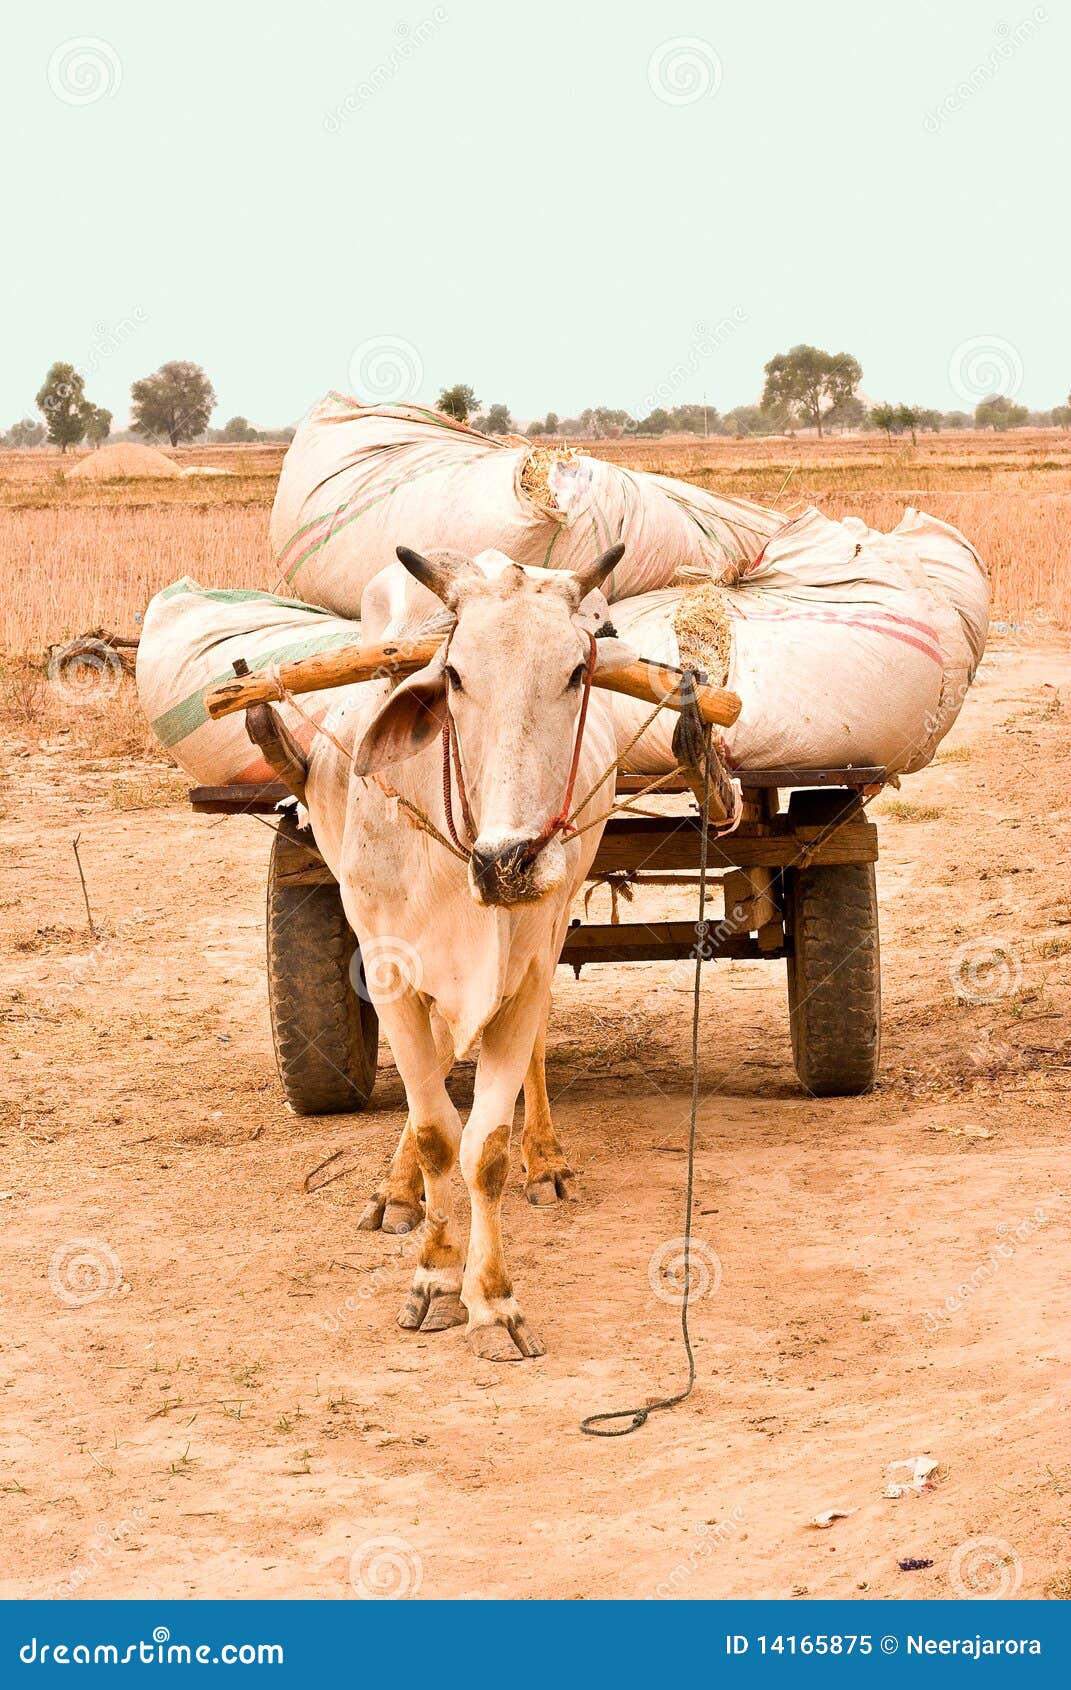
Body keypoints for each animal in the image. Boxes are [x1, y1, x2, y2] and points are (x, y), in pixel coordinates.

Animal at [303, 542, 635, 1361]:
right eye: (454, 674)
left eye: (575, 670)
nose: (510, 861)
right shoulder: (388, 966)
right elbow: (433, 1133)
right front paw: (433, 1277)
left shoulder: (528, 966)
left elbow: (483, 1147)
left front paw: (492, 1298)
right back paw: (396, 1194)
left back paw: (545, 1161)